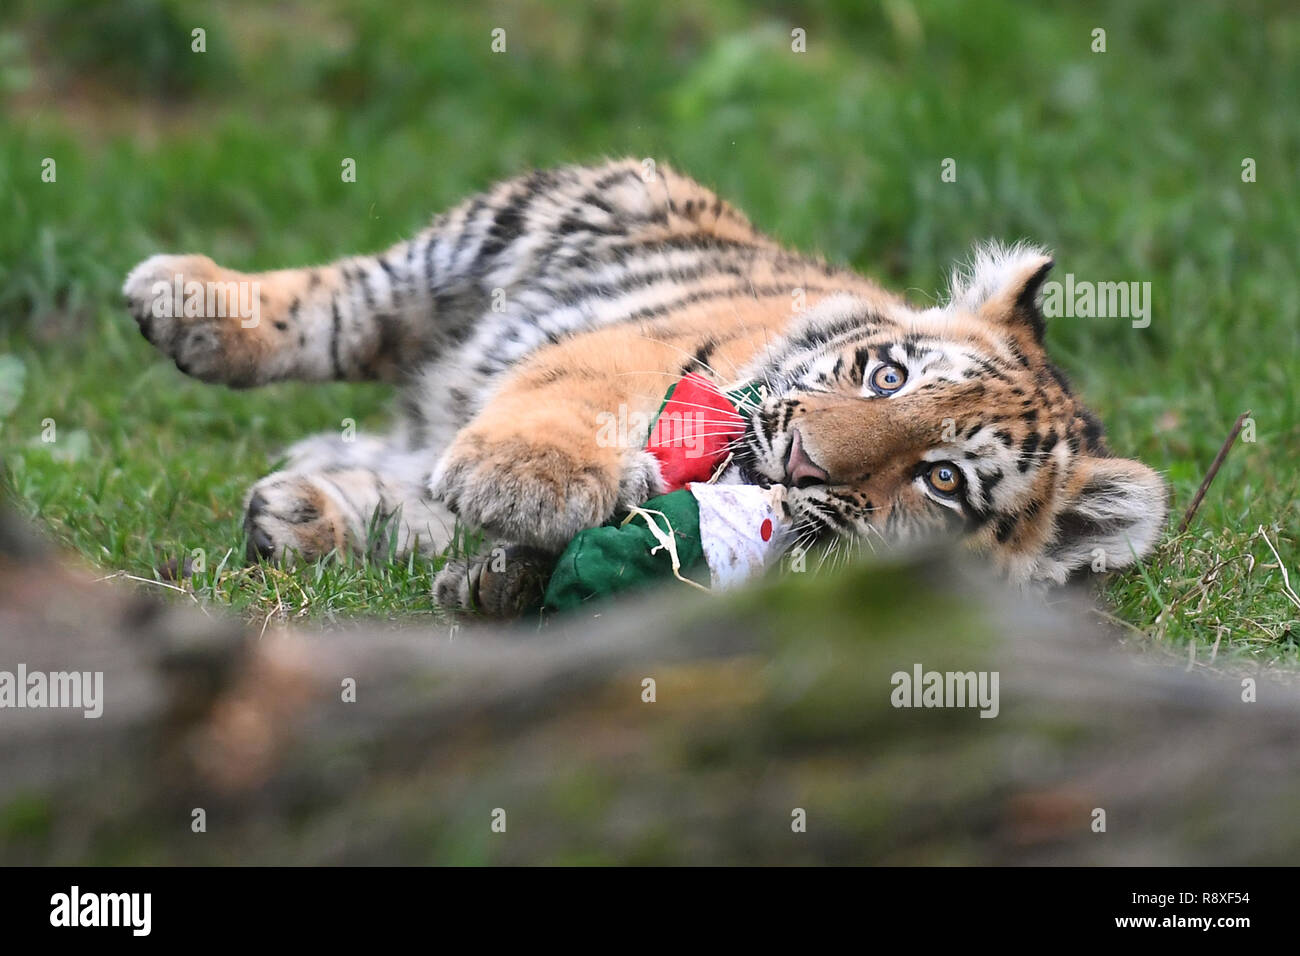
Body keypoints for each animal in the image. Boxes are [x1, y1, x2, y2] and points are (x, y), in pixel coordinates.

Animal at [122, 158, 1166, 616]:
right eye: (887, 375)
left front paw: (502, 582)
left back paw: (301, 510)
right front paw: (529, 483)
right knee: (344, 306)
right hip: (517, 226)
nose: (801, 457)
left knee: (398, 482)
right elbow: (570, 394)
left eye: (943, 479)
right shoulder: (638, 351)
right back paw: (186, 304)